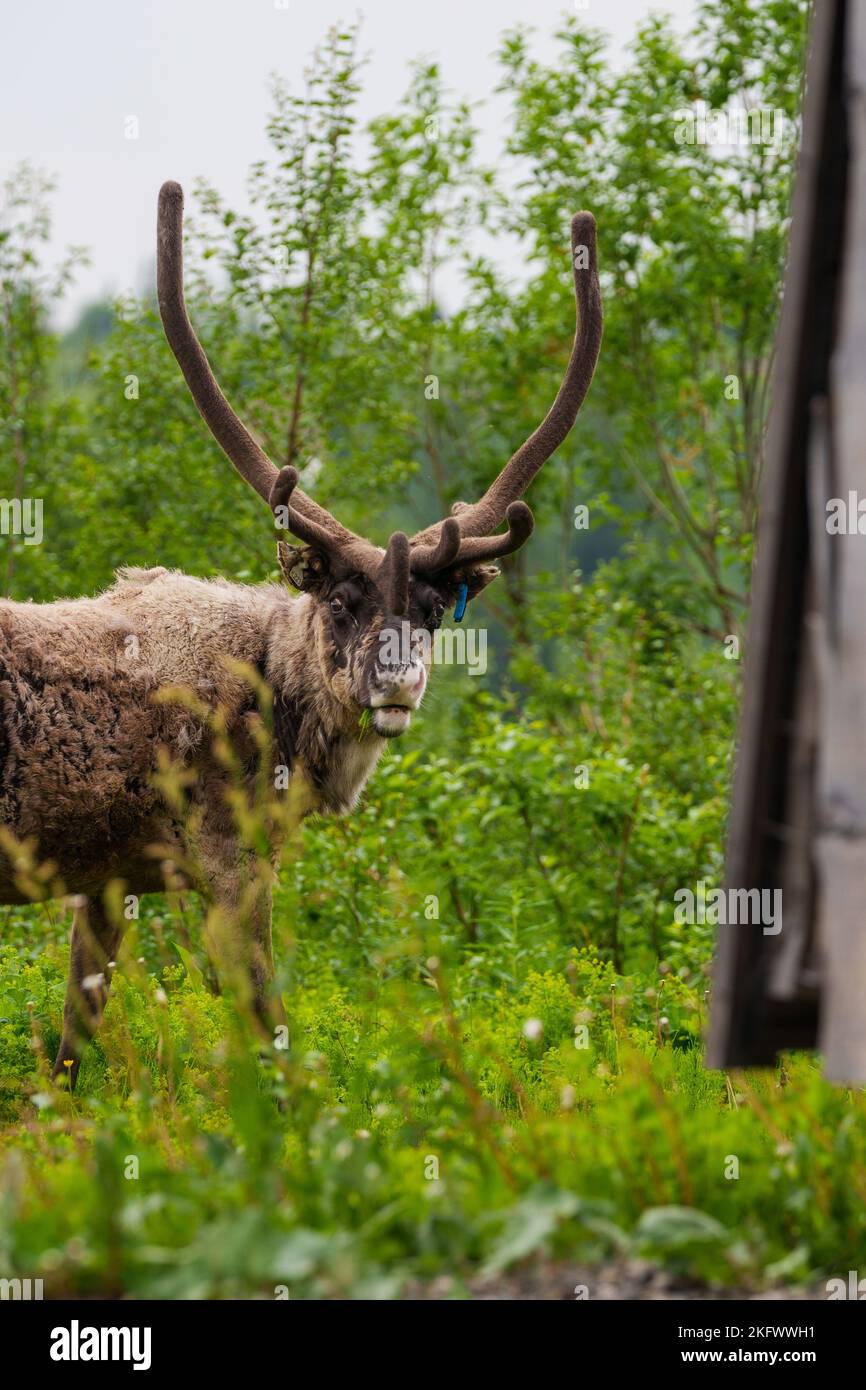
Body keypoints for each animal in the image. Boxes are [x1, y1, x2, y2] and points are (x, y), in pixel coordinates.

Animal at [0, 182, 602, 1088]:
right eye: (344, 599)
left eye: (434, 608)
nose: (396, 682)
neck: (280, 704)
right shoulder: (230, 857)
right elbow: (268, 1025)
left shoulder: (103, 880)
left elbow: (75, 1040)